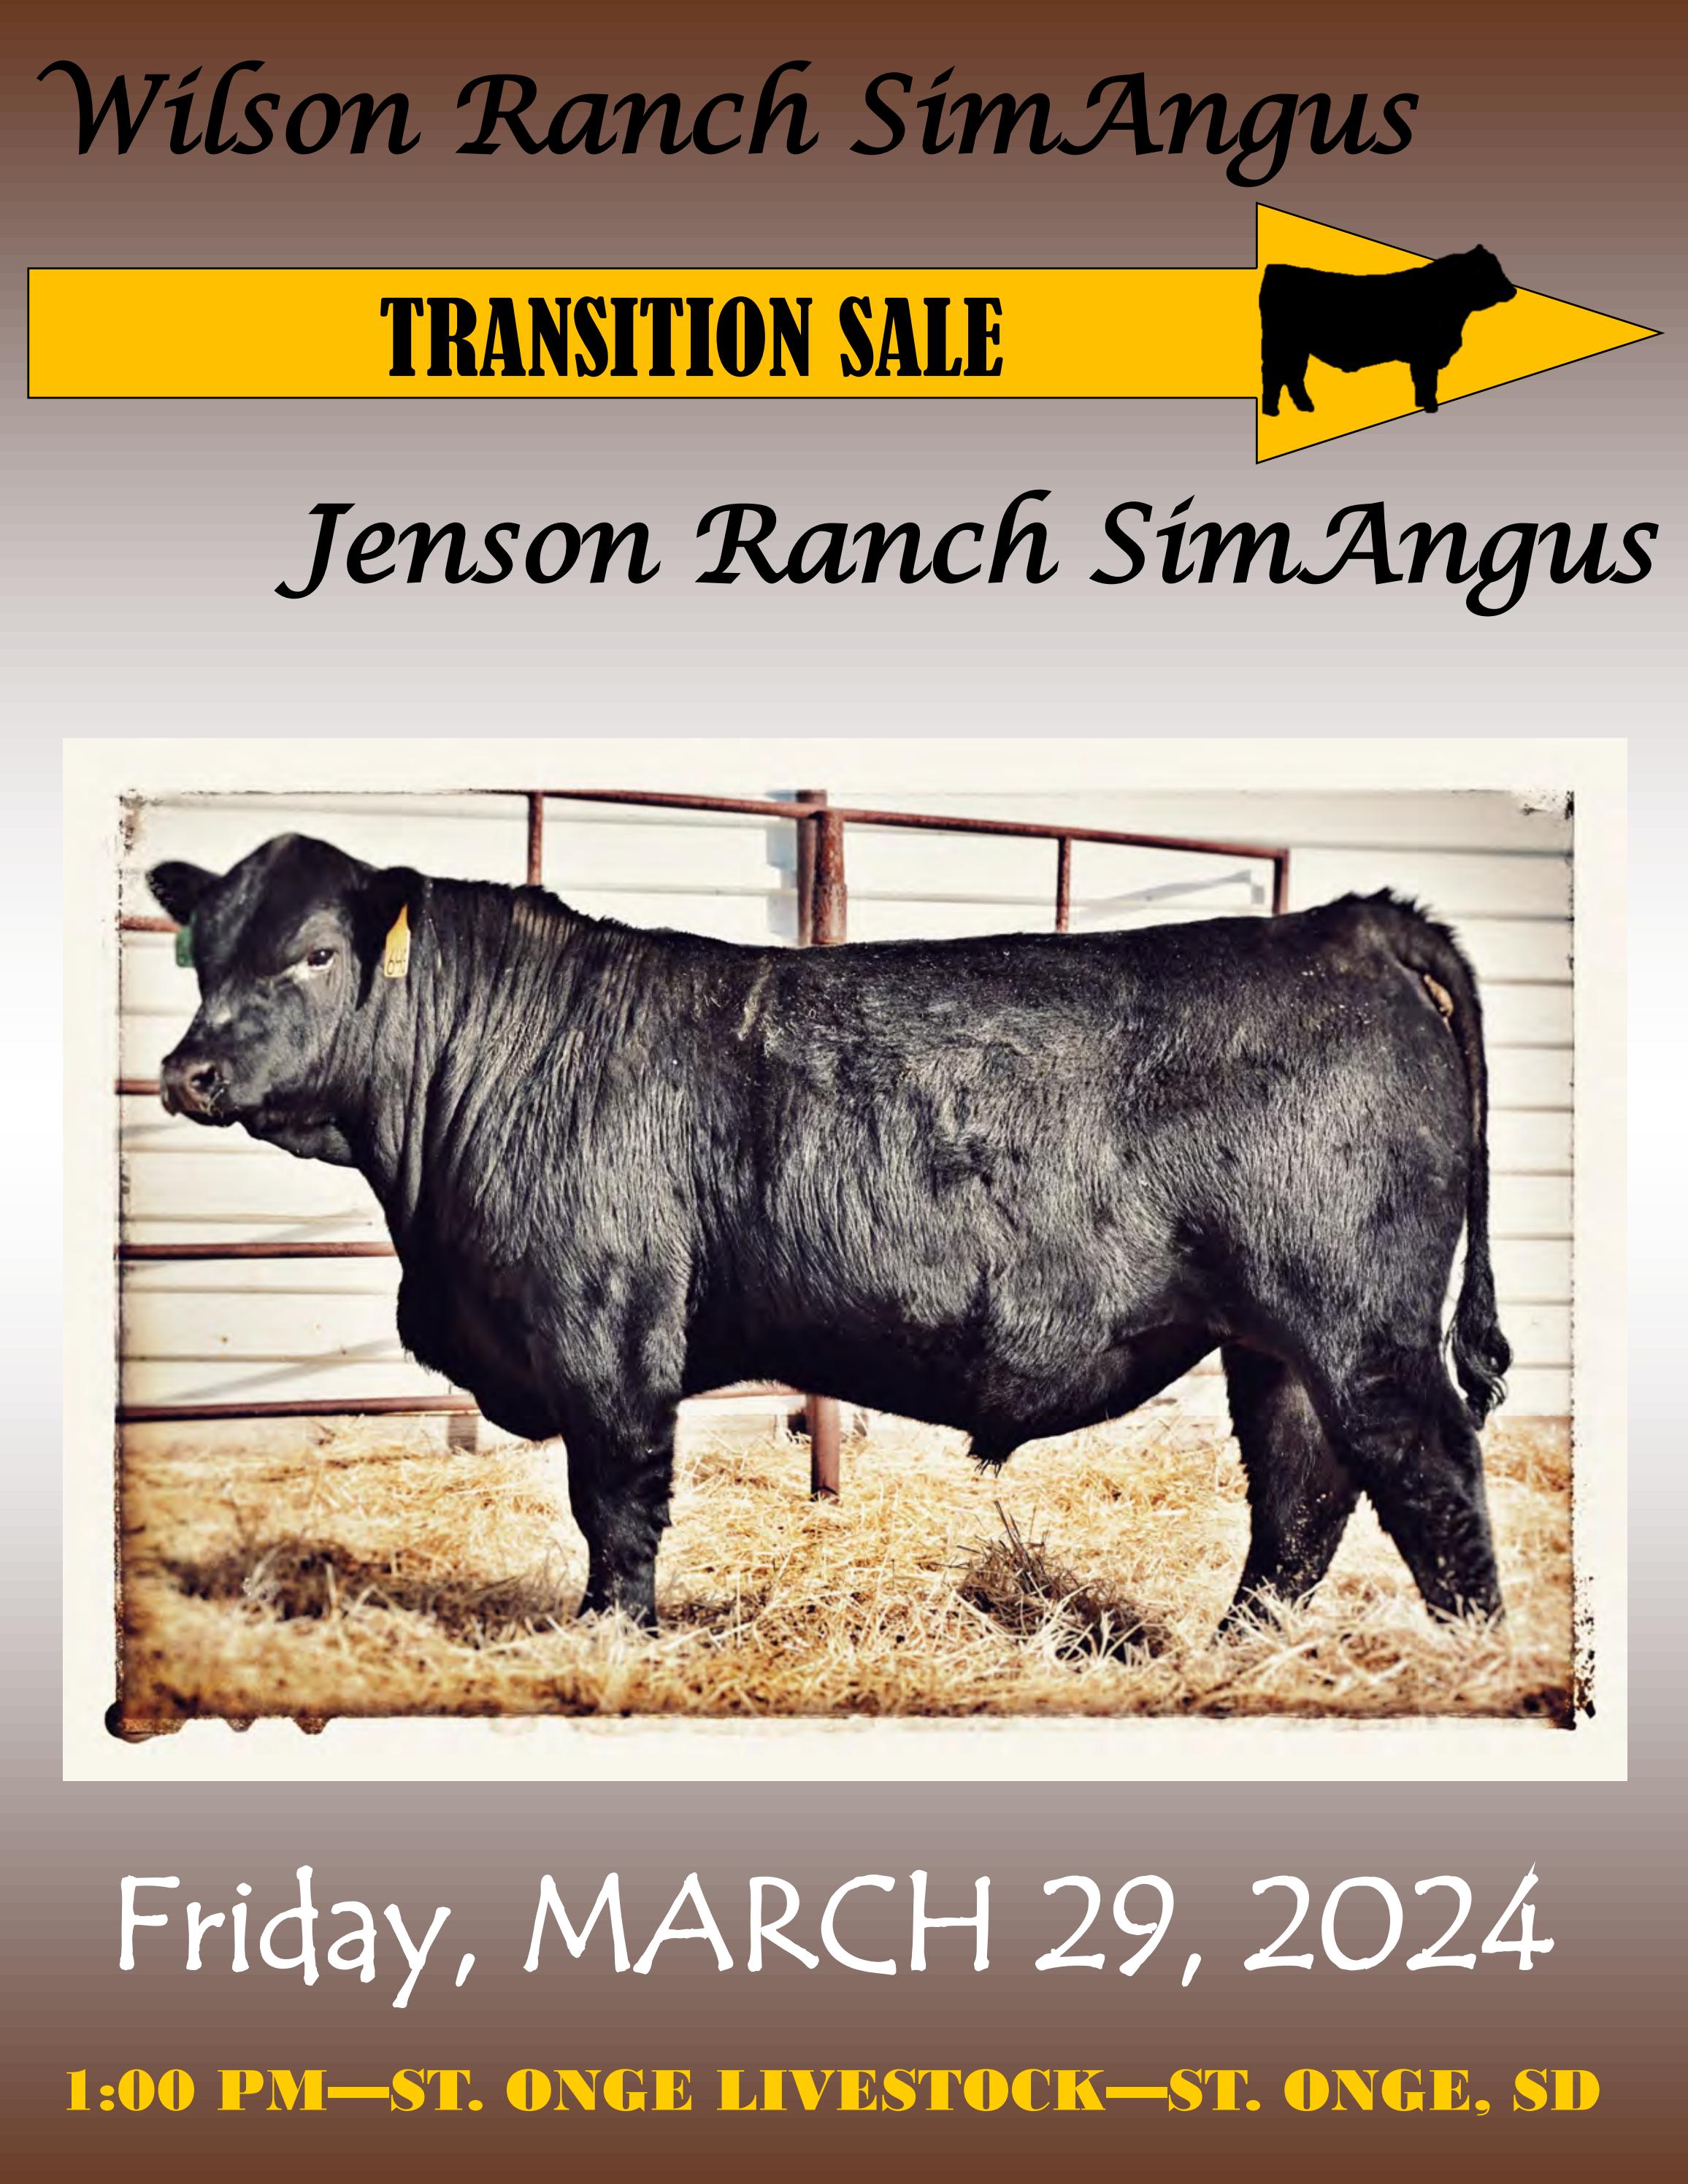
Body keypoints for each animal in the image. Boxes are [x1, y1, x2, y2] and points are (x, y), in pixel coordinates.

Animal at [147, 834, 1511, 1637]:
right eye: (200, 951)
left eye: (317, 953)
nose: (187, 1070)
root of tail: (1344, 922)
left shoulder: (605, 1328)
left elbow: (616, 1500)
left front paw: (611, 1638)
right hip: (1273, 1337)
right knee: (1302, 1489)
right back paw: (1234, 1654)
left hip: (1356, 1321)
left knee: (1424, 1470)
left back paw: (1476, 1657)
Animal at [1260, 246, 1518, 418]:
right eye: (1487, 271)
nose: (1512, 290)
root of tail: (1277, 269)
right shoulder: (1427, 355)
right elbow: (1428, 382)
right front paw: (1431, 407)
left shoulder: (1422, 357)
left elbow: (1419, 381)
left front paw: (1420, 404)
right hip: (1281, 344)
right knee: (1275, 375)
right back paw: (1272, 411)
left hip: (1297, 349)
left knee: (1292, 375)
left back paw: (1305, 407)